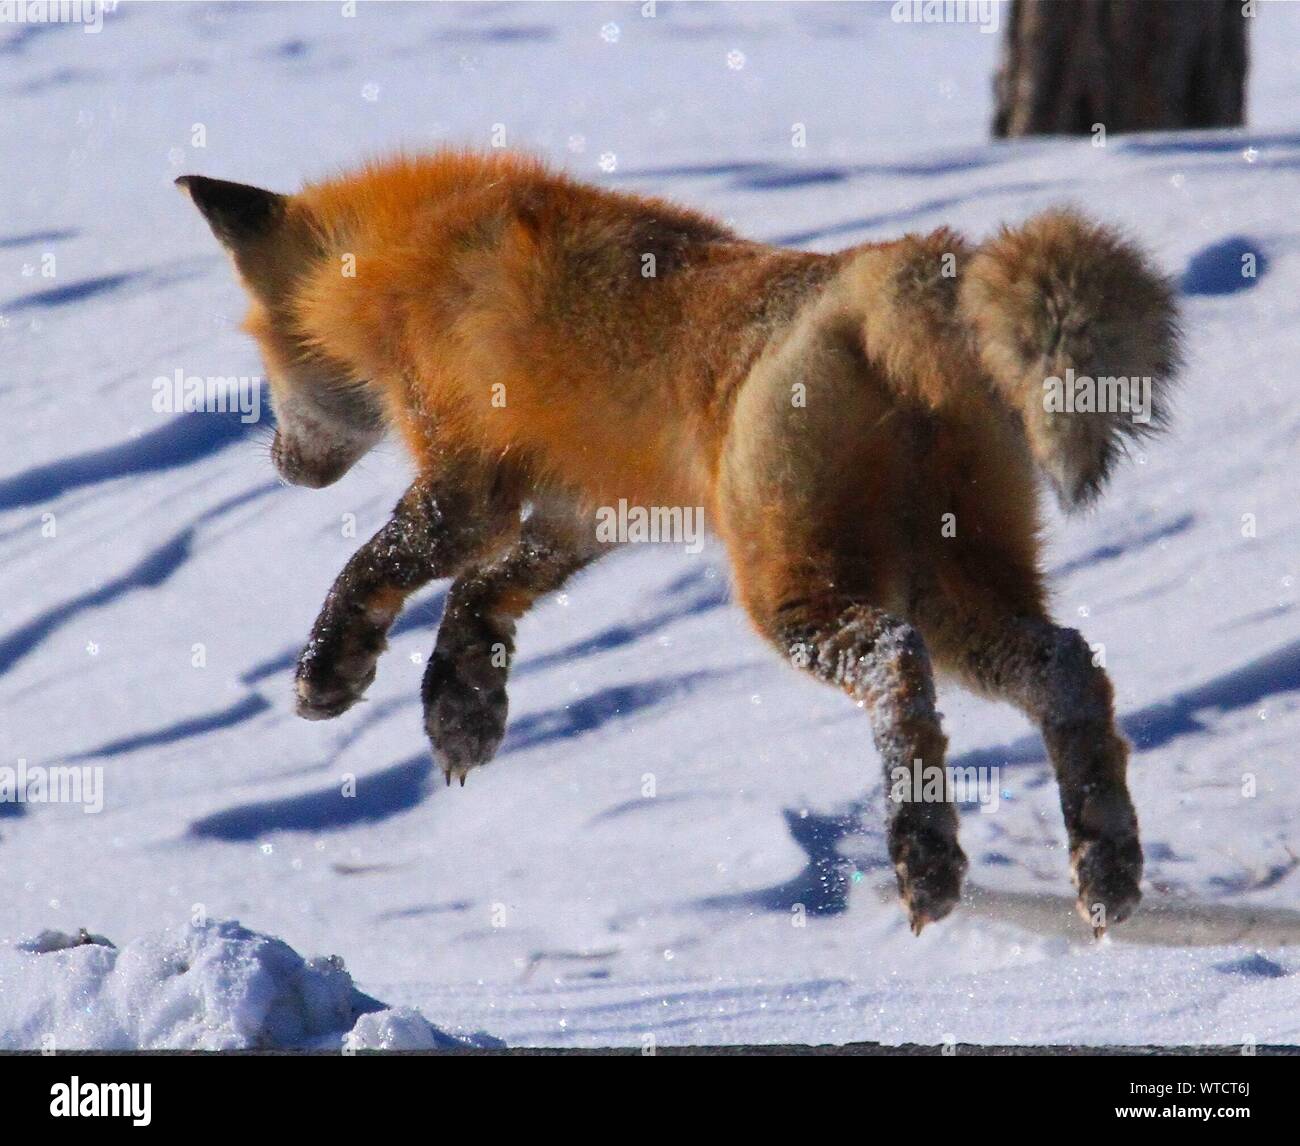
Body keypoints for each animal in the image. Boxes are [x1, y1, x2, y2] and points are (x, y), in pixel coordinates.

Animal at [178, 150, 1179, 936]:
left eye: (266, 357)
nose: (285, 467)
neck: (410, 261)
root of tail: (893, 269)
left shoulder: (468, 485)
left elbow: (382, 563)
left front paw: (328, 667)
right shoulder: (585, 506)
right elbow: (484, 595)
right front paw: (462, 707)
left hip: (795, 589)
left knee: (896, 665)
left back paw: (923, 857)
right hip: (952, 584)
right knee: (1068, 668)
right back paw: (1106, 866)